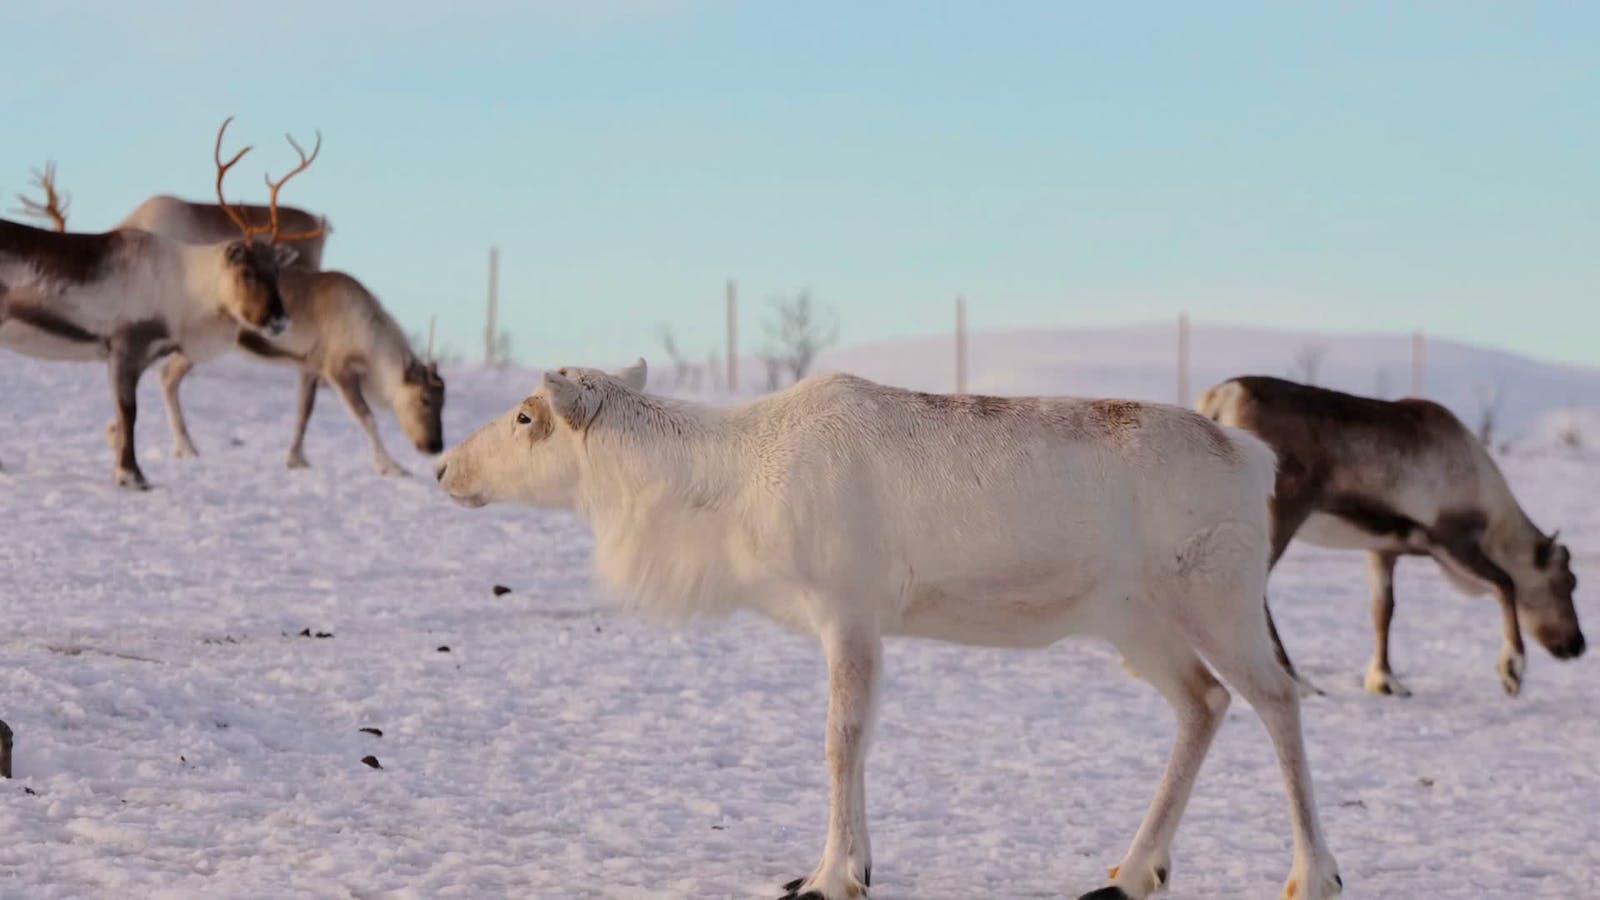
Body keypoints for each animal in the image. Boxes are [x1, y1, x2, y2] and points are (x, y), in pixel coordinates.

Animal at [1, 120, 316, 488]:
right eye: (247, 270)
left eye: (277, 271)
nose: (279, 320)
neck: (186, 292)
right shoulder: (124, 347)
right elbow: (129, 413)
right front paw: (131, 475)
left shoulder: (147, 353)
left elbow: (121, 419)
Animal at [113, 156, 444, 474]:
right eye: (425, 399)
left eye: (444, 402)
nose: (435, 446)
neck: (369, 338)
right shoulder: (337, 368)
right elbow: (367, 417)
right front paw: (392, 466)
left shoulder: (310, 366)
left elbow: (303, 414)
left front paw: (296, 459)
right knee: (165, 376)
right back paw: (181, 446)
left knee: (167, 377)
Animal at [435, 361, 1344, 900]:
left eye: (525, 417)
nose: (444, 466)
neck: (719, 497)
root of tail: (1253, 457)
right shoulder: (854, 620)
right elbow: (860, 740)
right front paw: (853, 865)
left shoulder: (847, 606)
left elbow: (841, 739)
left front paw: (830, 874)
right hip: (1135, 621)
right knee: (1203, 703)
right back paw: (1133, 869)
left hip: (1216, 597)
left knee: (1277, 698)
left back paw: (1313, 872)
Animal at [1199, 375, 1583, 698]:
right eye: (1567, 581)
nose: (1578, 644)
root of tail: (1223, 397)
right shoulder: (1451, 539)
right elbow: (1506, 583)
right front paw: (1512, 669)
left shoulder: (1382, 549)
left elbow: (1383, 610)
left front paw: (1384, 679)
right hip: (1280, 514)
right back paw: (1296, 679)